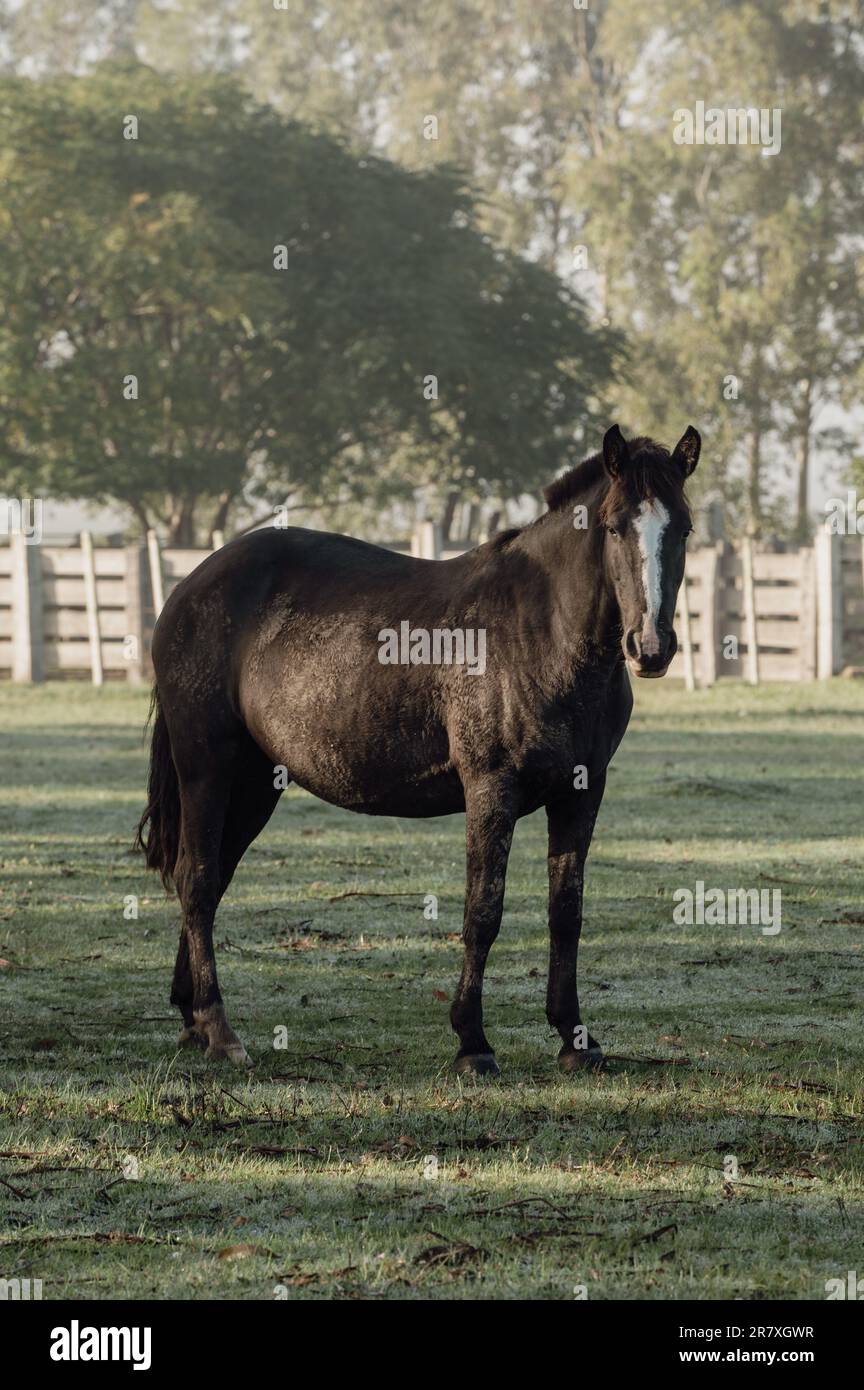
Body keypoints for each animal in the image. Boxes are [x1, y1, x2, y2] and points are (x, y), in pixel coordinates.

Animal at [136, 423, 700, 1075]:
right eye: (613, 526)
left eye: (684, 528)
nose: (651, 646)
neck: (543, 633)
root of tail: (188, 588)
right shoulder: (491, 788)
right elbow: (483, 911)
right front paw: (473, 1043)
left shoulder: (582, 793)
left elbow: (567, 914)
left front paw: (574, 1038)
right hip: (207, 767)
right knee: (198, 879)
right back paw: (220, 1028)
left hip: (254, 784)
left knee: (211, 877)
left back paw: (192, 1018)